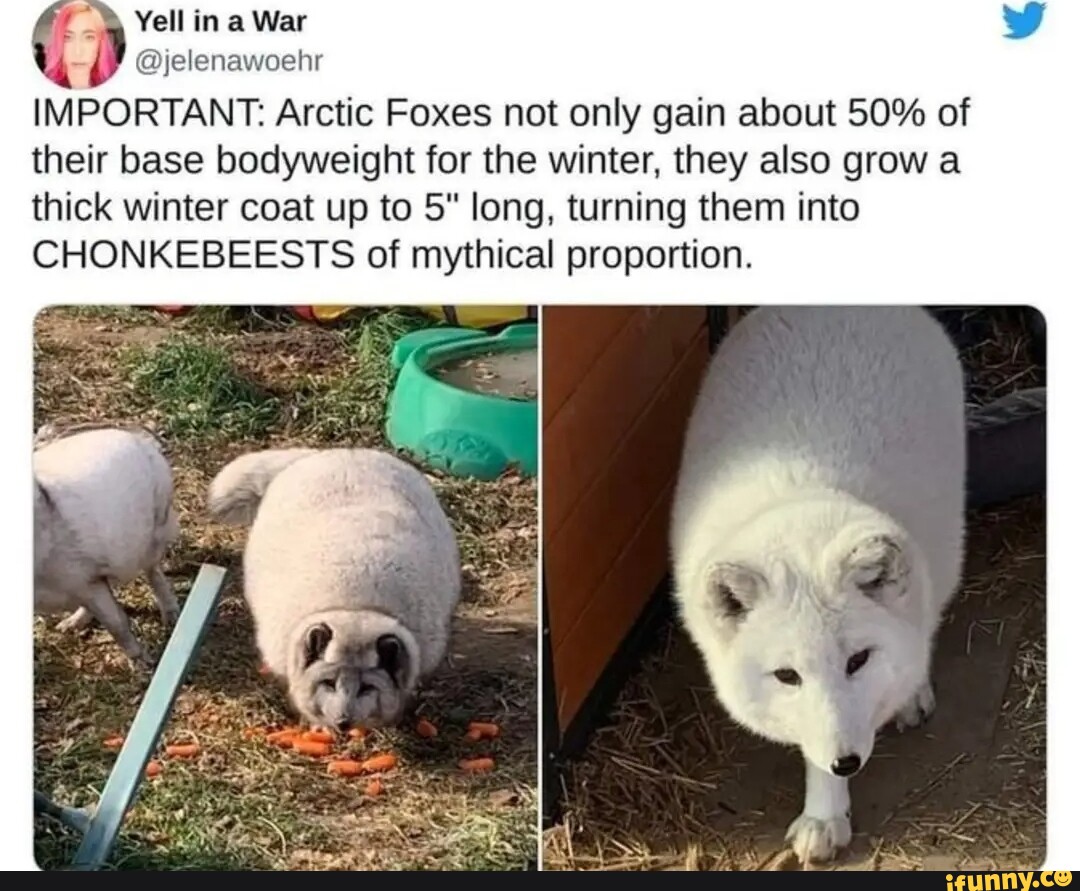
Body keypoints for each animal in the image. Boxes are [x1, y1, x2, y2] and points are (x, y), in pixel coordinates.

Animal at [669, 305, 967, 865]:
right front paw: (826, 814)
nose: (846, 762)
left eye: (858, 660)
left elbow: (917, 644)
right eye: (787, 676)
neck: (798, 504)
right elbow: (810, 746)